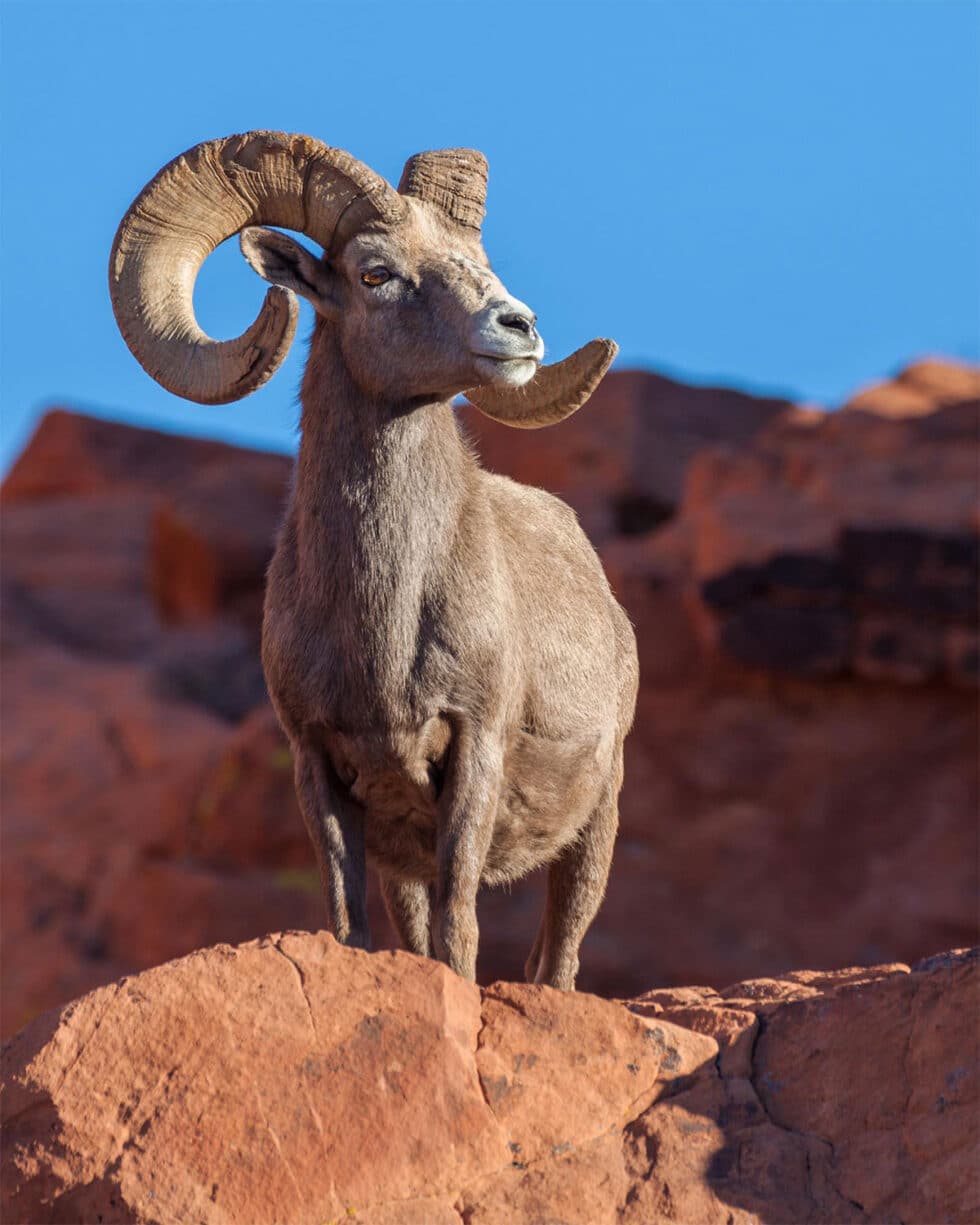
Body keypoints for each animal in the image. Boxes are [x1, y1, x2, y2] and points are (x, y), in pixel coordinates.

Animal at [110, 131, 638, 989]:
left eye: (476, 259)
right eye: (377, 274)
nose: (518, 328)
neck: (382, 625)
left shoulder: (473, 750)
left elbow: (460, 928)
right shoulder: (323, 768)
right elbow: (351, 924)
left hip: (596, 823)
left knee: (559, 959)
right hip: (411, 862)